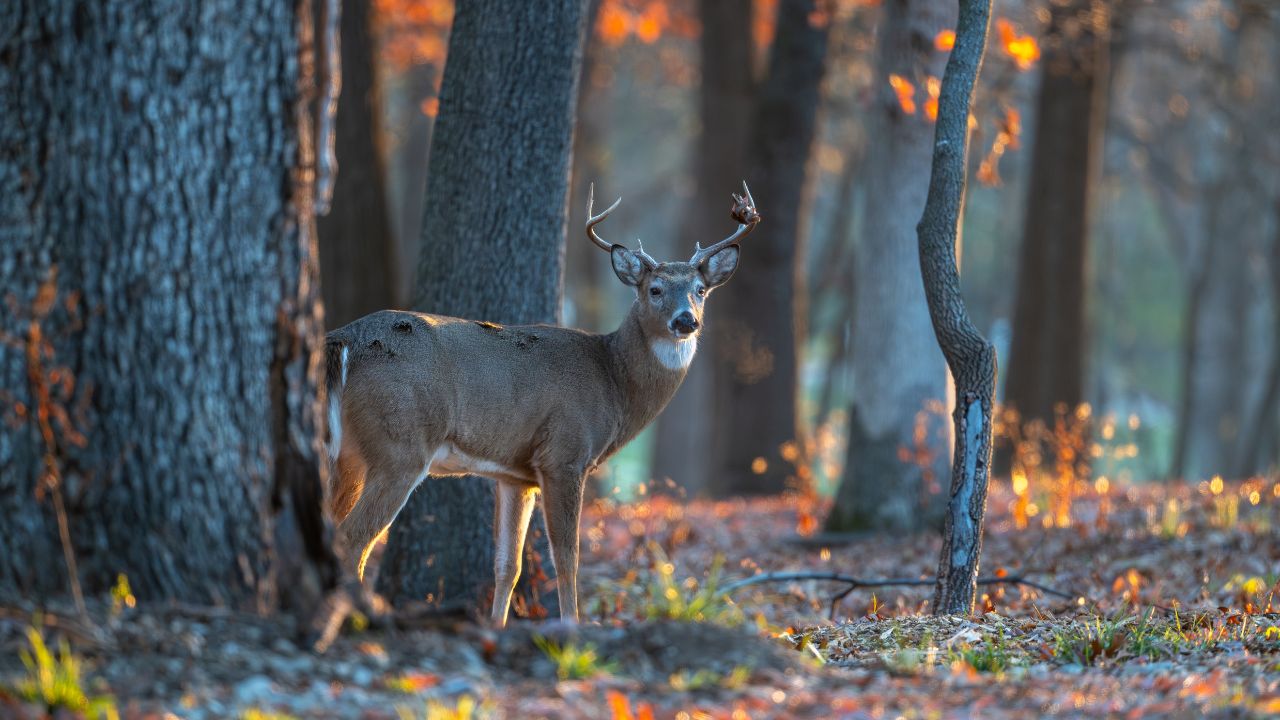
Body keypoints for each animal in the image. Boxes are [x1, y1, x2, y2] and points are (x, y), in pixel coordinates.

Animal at [323, 183, 760, 628]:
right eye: (654, 290)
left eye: (700, 290)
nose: (686, 320)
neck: (614, 382)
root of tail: (344, 340)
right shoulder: (564, 455)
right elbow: (567, 558)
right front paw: (572, 625)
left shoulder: (515, 475)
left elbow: (508, 565)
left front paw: (497, 627)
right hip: (400, 445)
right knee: (353, 539)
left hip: (347, 454)